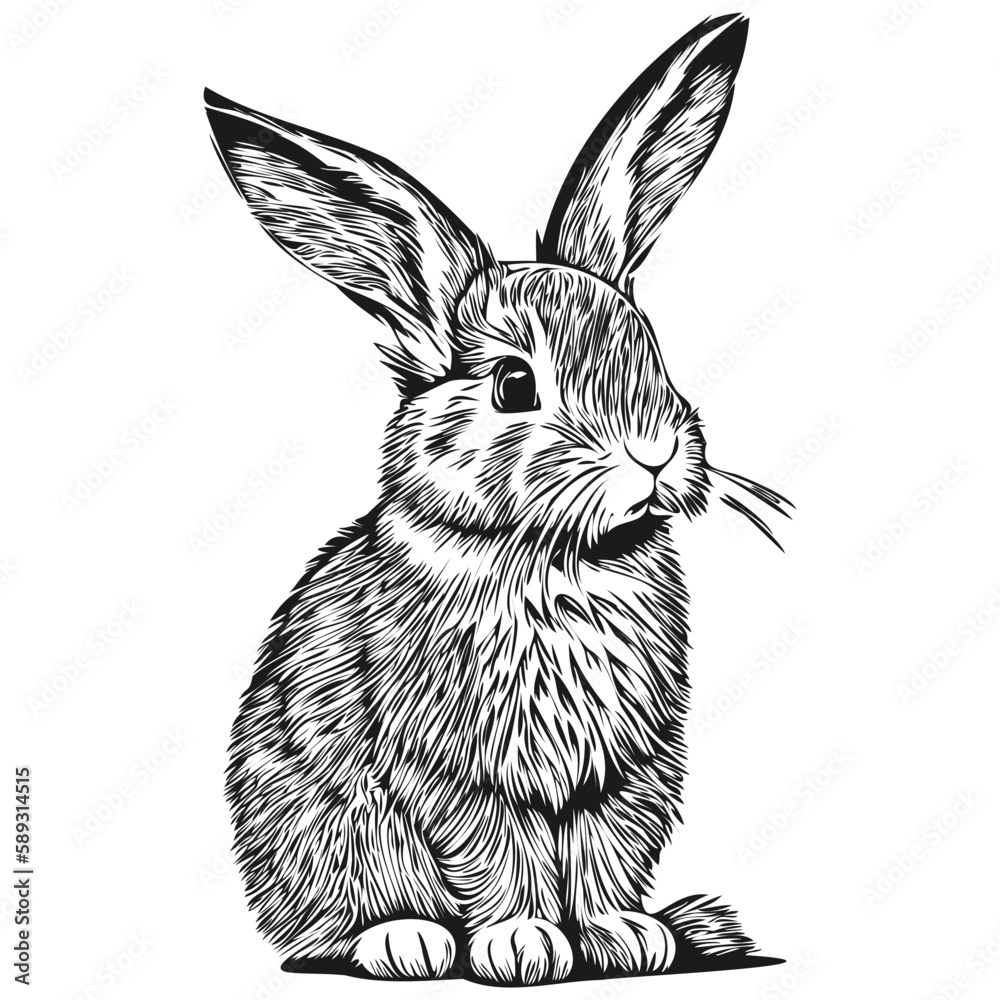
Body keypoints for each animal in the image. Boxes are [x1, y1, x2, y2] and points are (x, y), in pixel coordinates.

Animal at [207, 12, 790, 986]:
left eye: (648, 347)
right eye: (515, 385)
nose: (655, 456)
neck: (559, 560)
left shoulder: (625, 772)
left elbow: (604, 856)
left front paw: (625, 939)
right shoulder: (457, 773)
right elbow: (498, 856)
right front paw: (522, 945)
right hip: (323, 831)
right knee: (335, 923)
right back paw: (408, 941)